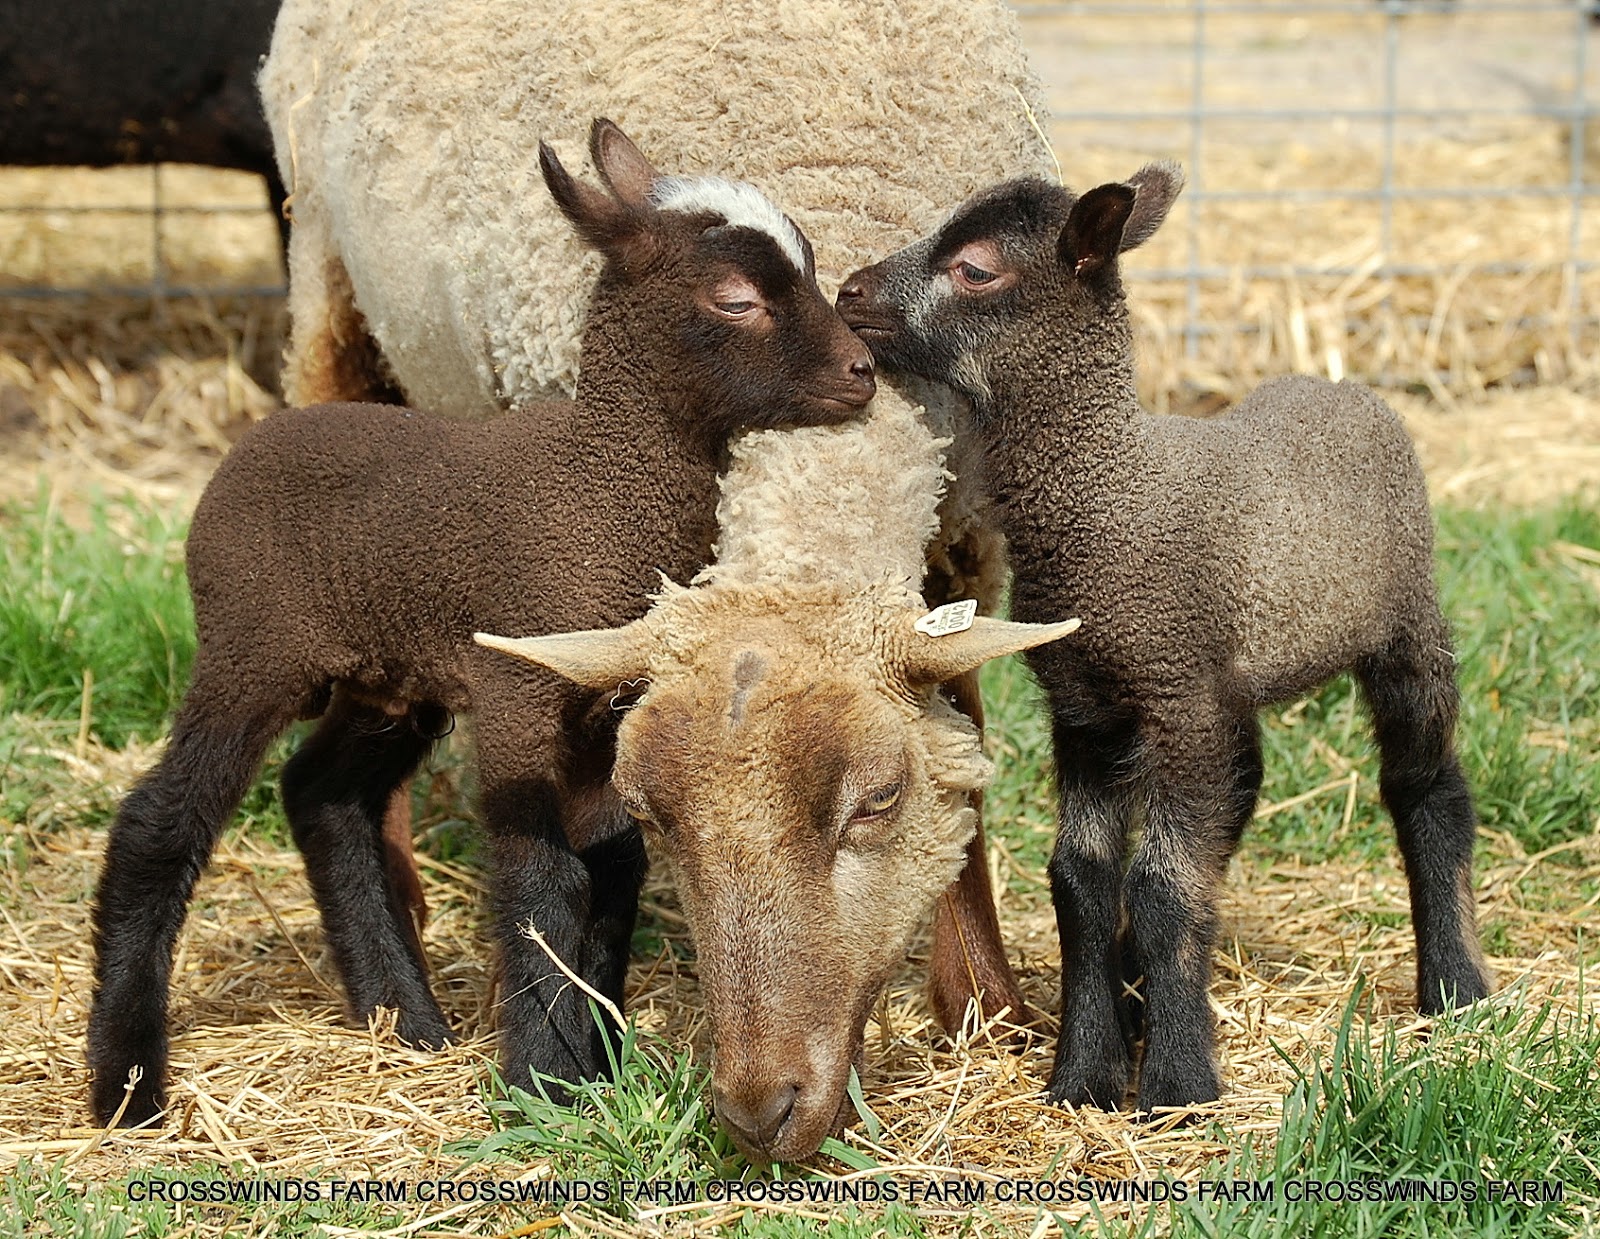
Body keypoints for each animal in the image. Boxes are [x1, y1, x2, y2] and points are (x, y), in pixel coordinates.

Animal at [85, 119, 876, 1128]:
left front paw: (598, 1062)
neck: (599, 486)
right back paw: (127, 1085)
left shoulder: (606, 702)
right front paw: (542, 1080)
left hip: (388, 675)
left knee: (321, 792)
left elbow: (613, 868)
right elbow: (548, 879)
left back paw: (404, 1019)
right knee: (161, 819)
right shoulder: (516, 689)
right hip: (252, 645)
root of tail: (247, 447)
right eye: (735, 298)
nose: (863, 374)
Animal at [258, 0, 1061, 1152]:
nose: (762, 1109)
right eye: (660, 815)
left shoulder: (964, 523)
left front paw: (986, 1007)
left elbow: (965, 725)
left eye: (877, 801)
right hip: (328, 285)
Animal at [835, 165, 1492, 1115]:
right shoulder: (1090, 708)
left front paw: (1179, 1081)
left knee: (1426, 787)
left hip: (1405, 628)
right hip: (1226, 692)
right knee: (1245, 787)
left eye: (976, 269)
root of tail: (1338, 385)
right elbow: (1080, 877)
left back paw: (1455, 987)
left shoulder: (1175, 688)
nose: (848, 291)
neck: (1114, 494)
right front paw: (1085, 1071)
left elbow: (1163, 887)